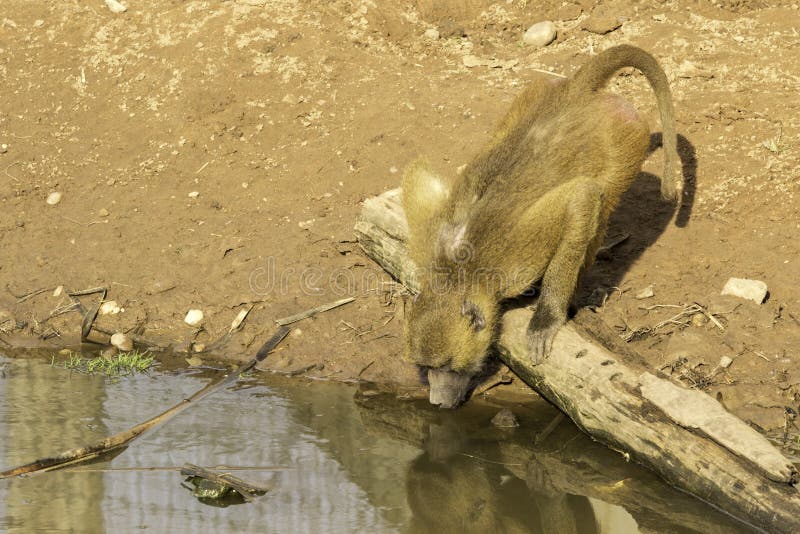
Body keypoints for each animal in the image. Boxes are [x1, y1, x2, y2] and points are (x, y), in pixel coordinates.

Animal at [402, 45, 680, 408]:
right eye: (427, 368)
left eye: (448, 367)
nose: (437, 400)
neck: (457, 274)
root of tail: (575, 92)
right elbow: (415, 170)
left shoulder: (516, 262)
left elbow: (581, 197)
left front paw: (547, 317)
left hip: (624, 138)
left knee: (600, 199)